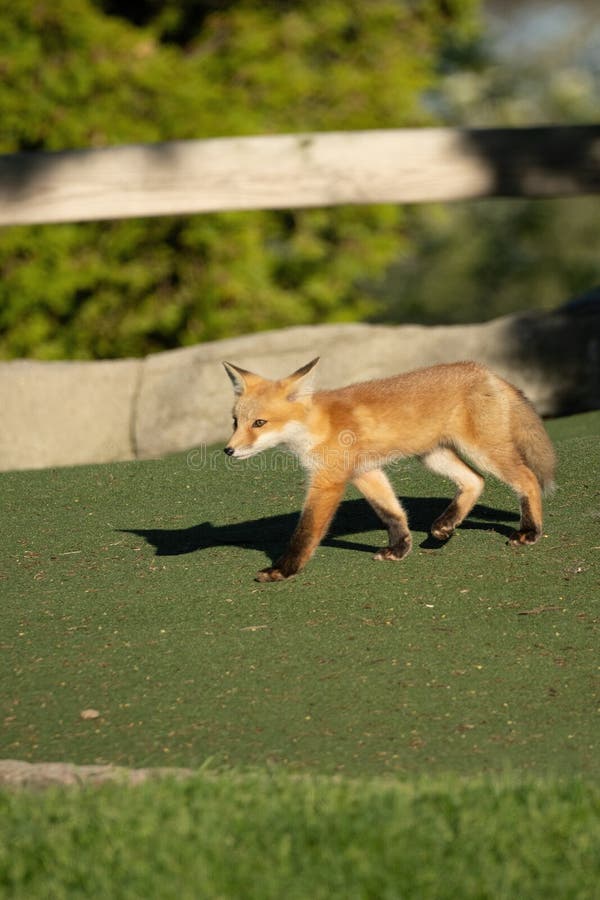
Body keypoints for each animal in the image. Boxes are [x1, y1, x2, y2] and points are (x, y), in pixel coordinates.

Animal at [223, 357, 556, 582]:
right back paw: (443, 527)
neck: (316, 427)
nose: (228, 450)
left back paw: (529, 531)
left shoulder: (328, 481)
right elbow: (391, 512)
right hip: (434, 456)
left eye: (259, 423)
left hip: (483, 451)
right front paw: (399, 548)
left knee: (526, 478)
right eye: (236, 422)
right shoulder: (365, 472)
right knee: (476, 480)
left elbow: (306, 531)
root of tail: (485, 370)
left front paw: (282, 570)